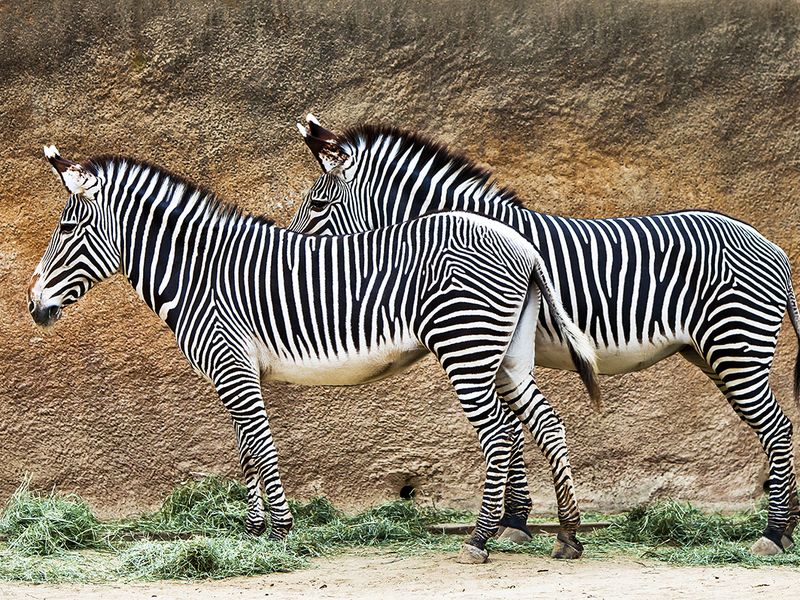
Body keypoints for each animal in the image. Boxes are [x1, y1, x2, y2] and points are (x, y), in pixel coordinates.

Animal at [27, 145, 600, 564]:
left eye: (67, 229)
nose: (33, 307)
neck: (200, 271)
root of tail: (523, 244)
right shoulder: (239, 370)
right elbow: (246, 450)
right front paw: (255, 530)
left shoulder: (231, 363)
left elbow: (260, 448)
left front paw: (280, 531)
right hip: (508, 352)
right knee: (546, 423)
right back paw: (567, 533)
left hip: (465, 344)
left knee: (500, 435)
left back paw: (480, 539)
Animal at [289, 114, 800, 557]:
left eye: (318, 206)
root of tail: (770, 244)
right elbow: (517, 431)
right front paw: (518, 522)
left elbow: (511, 432)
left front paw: (509, 524)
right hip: (710, 351)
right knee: (774, 425)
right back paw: (787, 527)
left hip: (737, 344)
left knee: (777, 427)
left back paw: (774, 533)